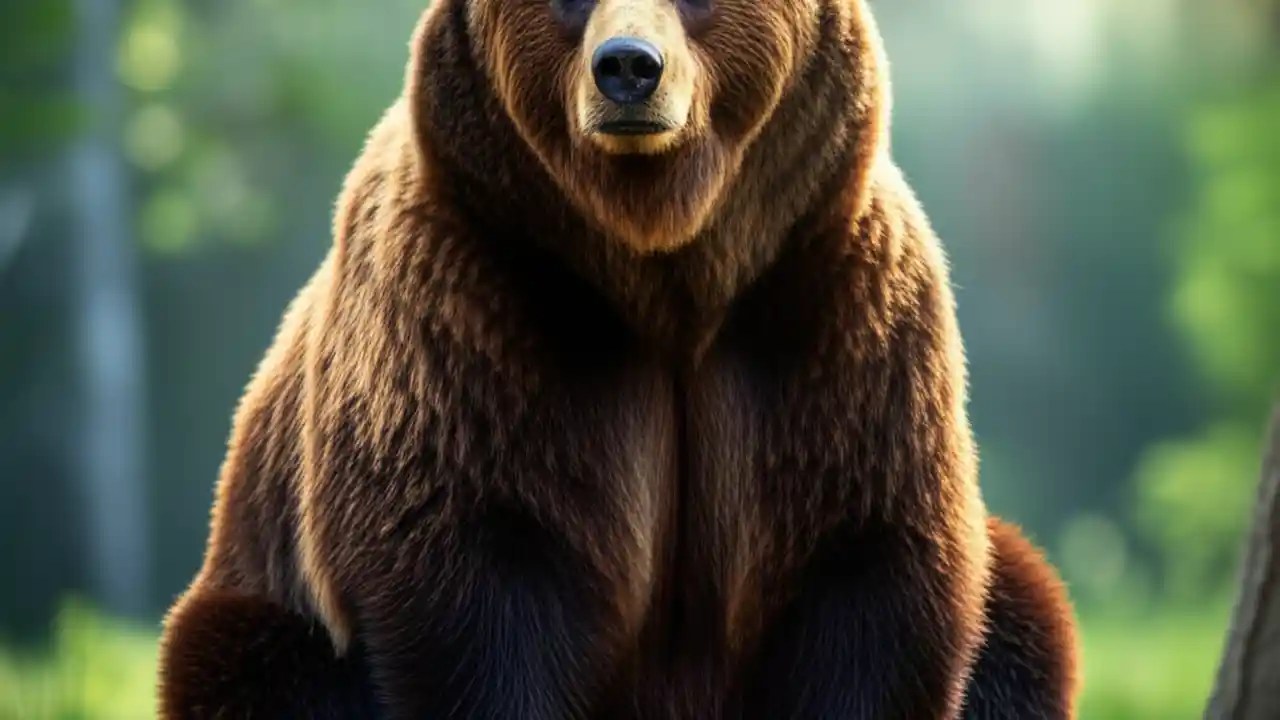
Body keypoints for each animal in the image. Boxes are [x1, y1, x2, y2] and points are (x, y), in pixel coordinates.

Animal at [158, 0, 1080, 717]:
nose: (629, 68)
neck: (663, 273)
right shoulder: (469, 314)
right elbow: (472, 584)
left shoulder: (829, 321)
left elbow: (863, 570)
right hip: (264, 614)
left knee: (1026, 615)